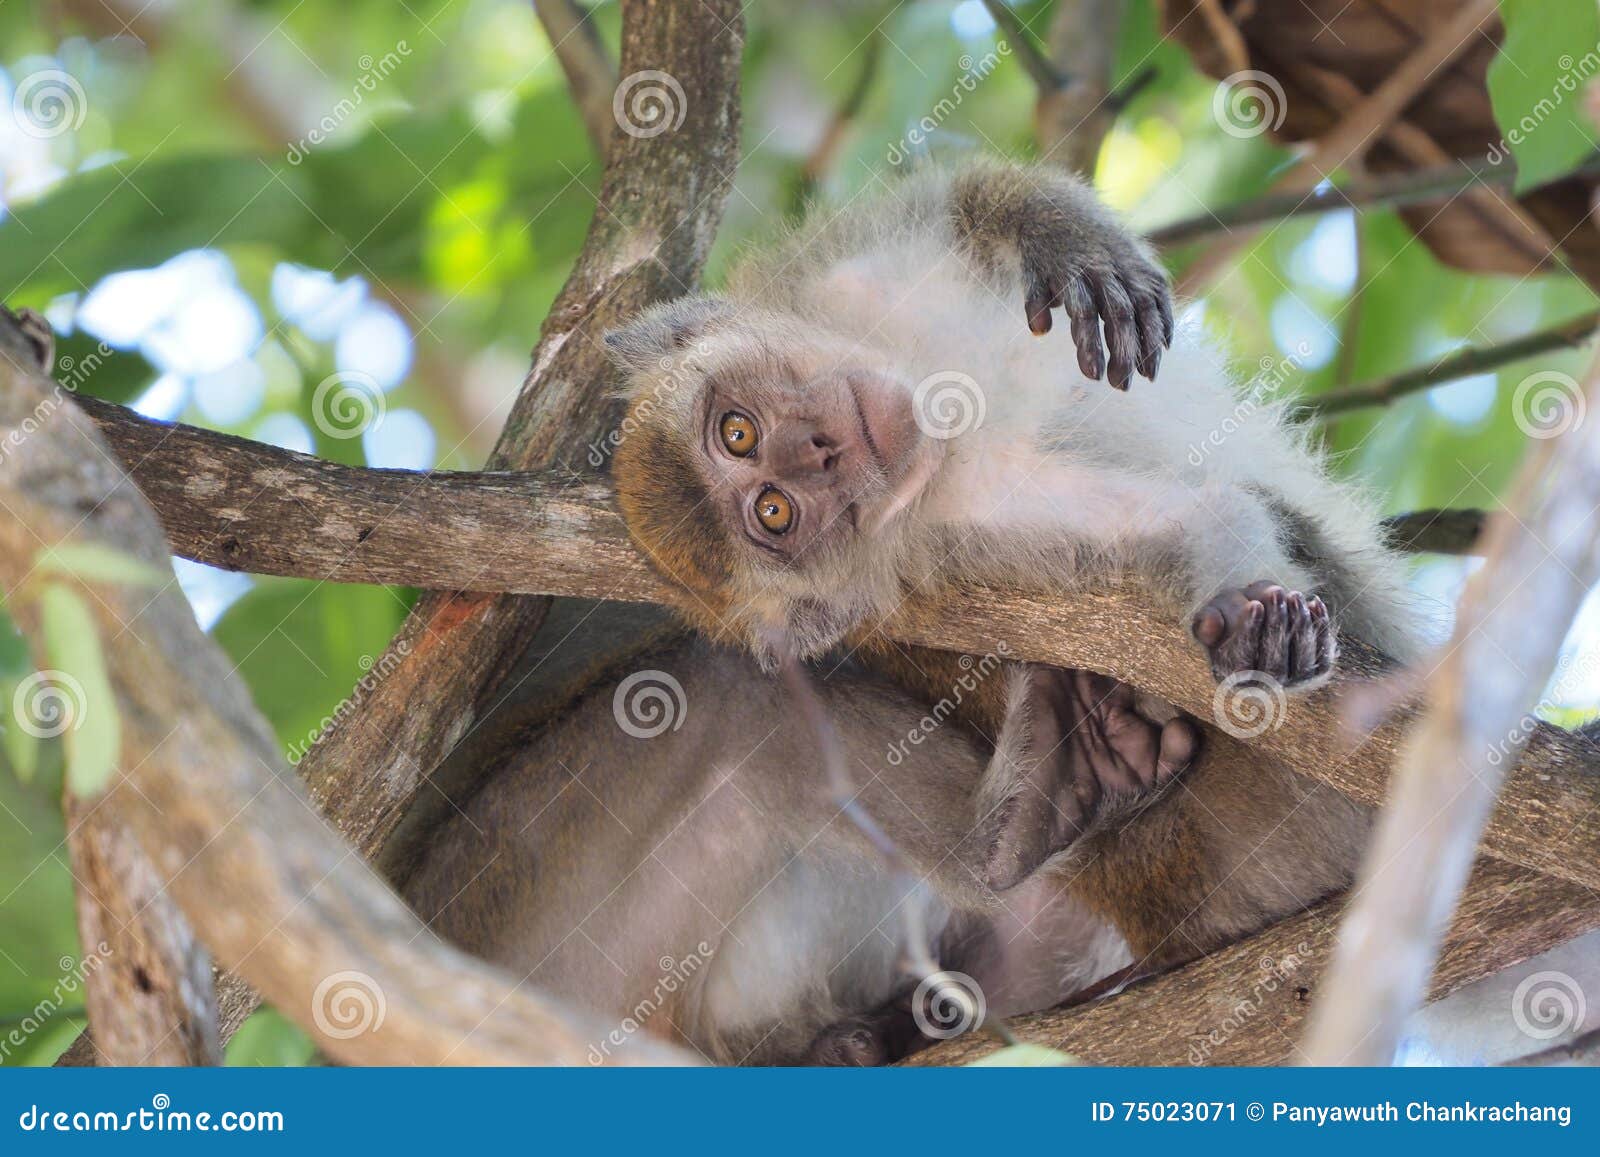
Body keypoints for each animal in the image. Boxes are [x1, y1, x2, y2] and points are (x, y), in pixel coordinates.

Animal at [407, 159, 1422, 1064]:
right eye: (774, 513)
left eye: (735, 430)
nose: (821, 451)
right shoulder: (969, 513)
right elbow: (1183, 523)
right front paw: (1247, 612)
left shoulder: (855, 291)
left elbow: (961, 198)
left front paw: (1063, 239)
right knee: (738, 698)